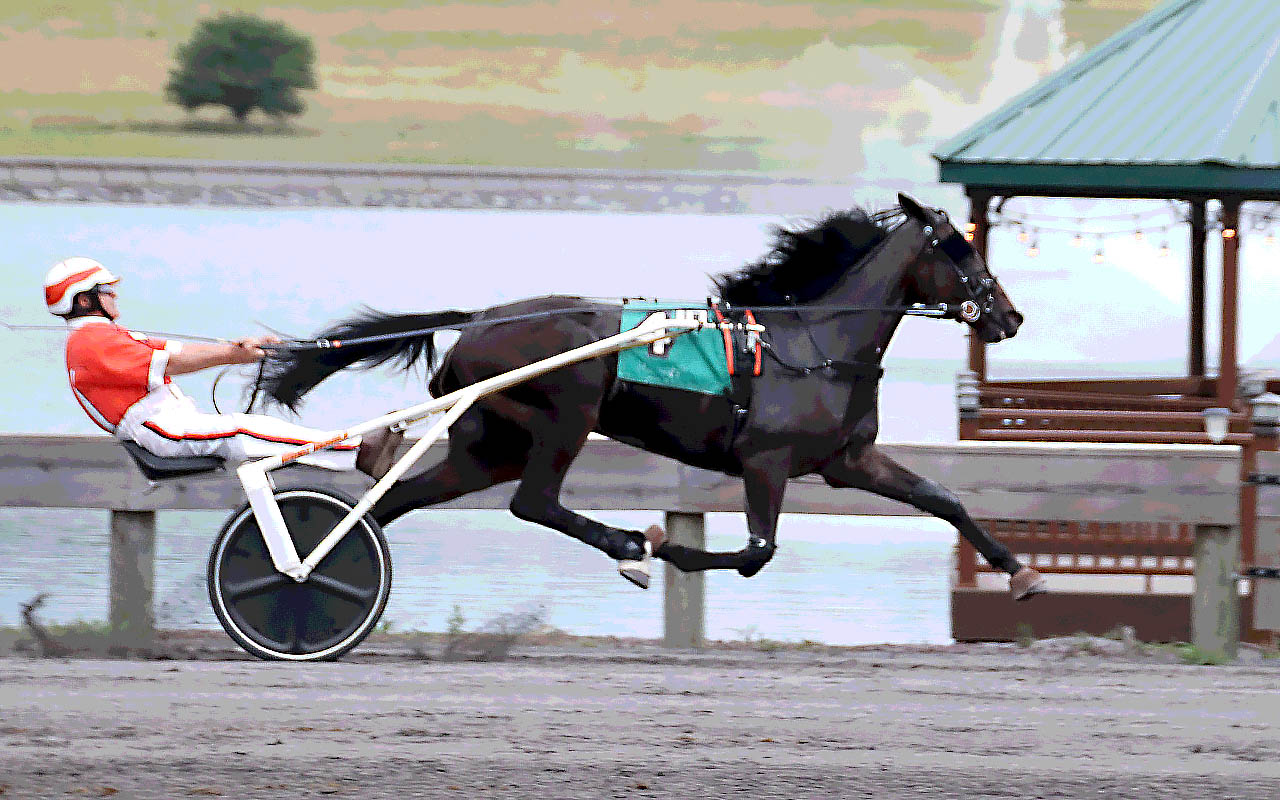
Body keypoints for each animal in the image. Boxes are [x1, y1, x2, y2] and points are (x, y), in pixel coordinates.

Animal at [260, 193, 1047, 601]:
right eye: (961, 250)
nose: (1010, 317)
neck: (812, 345)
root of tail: (479, 320)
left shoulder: (847, 460)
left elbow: (944, 498)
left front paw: (1022, 574)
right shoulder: (767, 461)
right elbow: (757, 552)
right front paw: (662, 547)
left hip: (489, 444)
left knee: (394, 503)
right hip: (567, 413)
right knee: (533, 502)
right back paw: (626, 543)